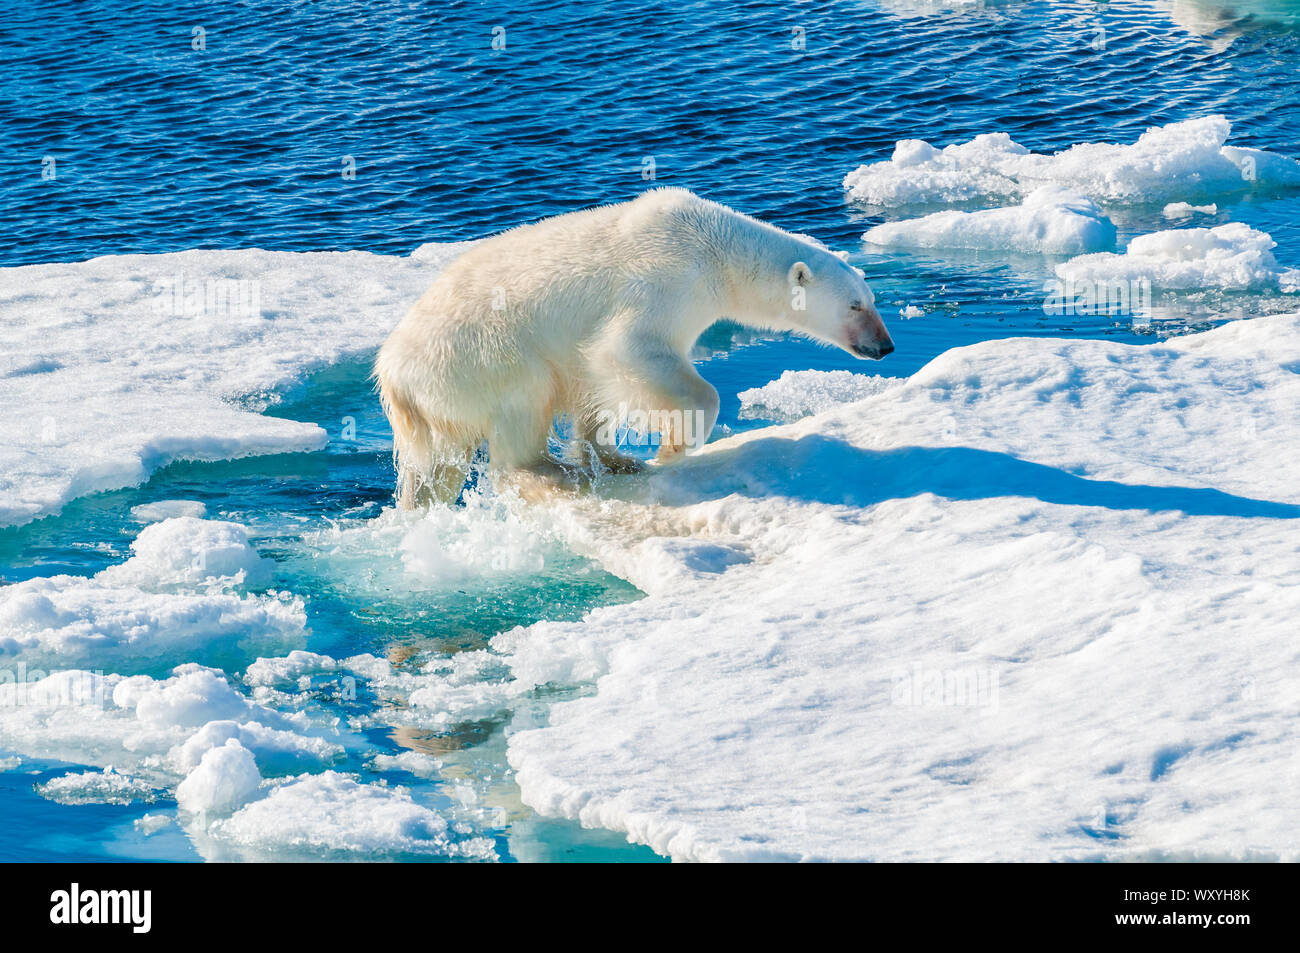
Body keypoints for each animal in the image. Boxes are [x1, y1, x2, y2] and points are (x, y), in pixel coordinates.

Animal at [375, 187, 893, 505]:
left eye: (871, 300)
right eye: (854, 306)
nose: (885, 346)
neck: (715, 246)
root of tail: (392, 377)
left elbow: (593, 380)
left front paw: (618, 454)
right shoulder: (662, 280)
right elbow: (625, 351)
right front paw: (674, 445)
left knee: (435, 465)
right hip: (476, 354)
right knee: (525, 395)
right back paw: (544, 466)